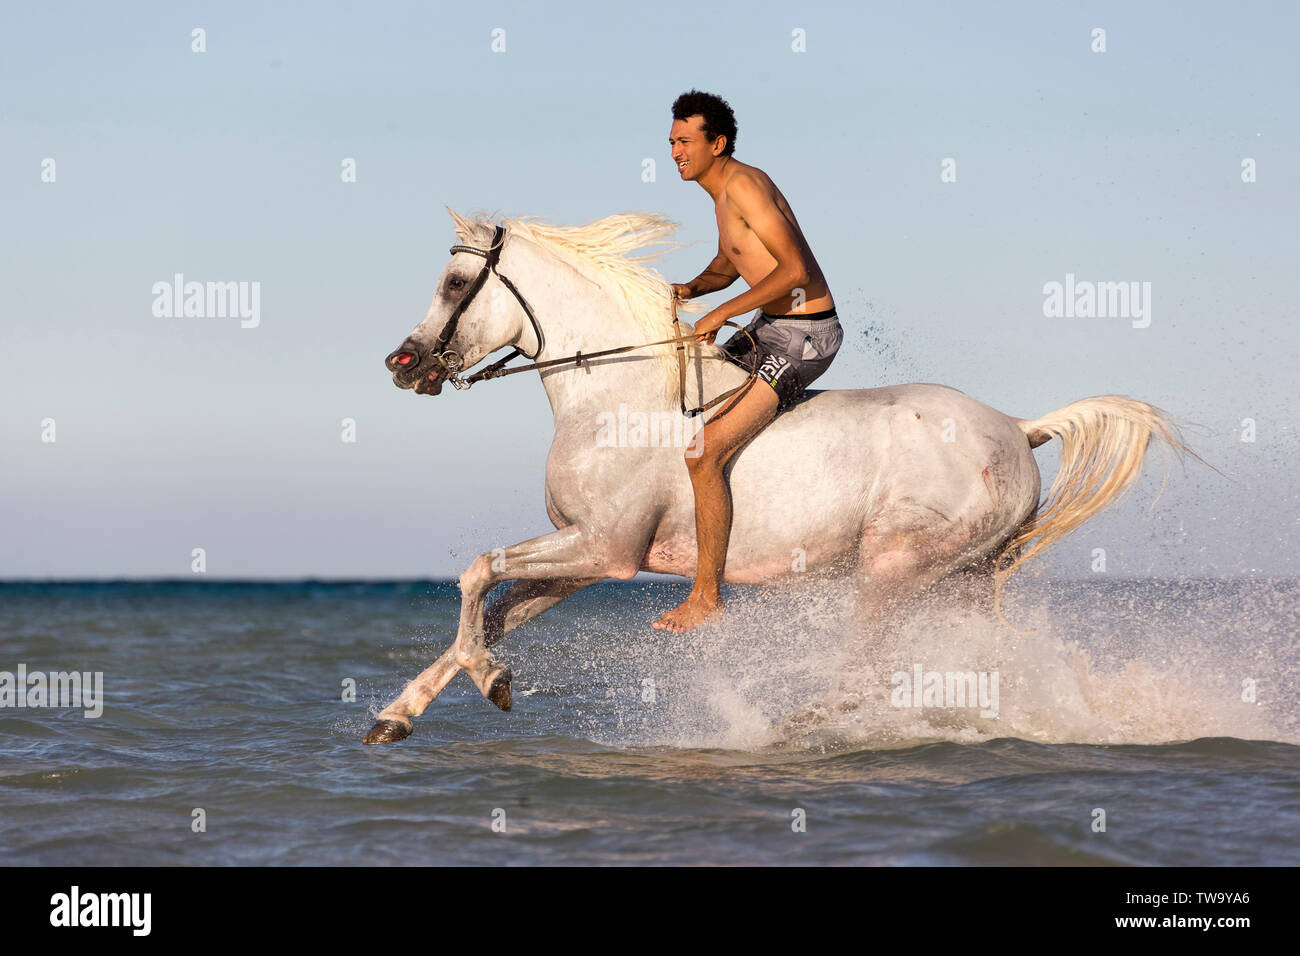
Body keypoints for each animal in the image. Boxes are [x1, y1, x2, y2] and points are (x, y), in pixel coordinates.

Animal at [365, 209, 1194, 744]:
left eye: (453, 283)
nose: (401, 364)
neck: (613, 396)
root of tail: (1019, 428)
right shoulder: (585, 557)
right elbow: (493, 611)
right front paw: (401, 713)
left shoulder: (607, 548)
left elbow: (476, 574)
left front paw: (491, 681)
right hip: (964, 578)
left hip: (893, 564)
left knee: (865, 674)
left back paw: (797, 729)